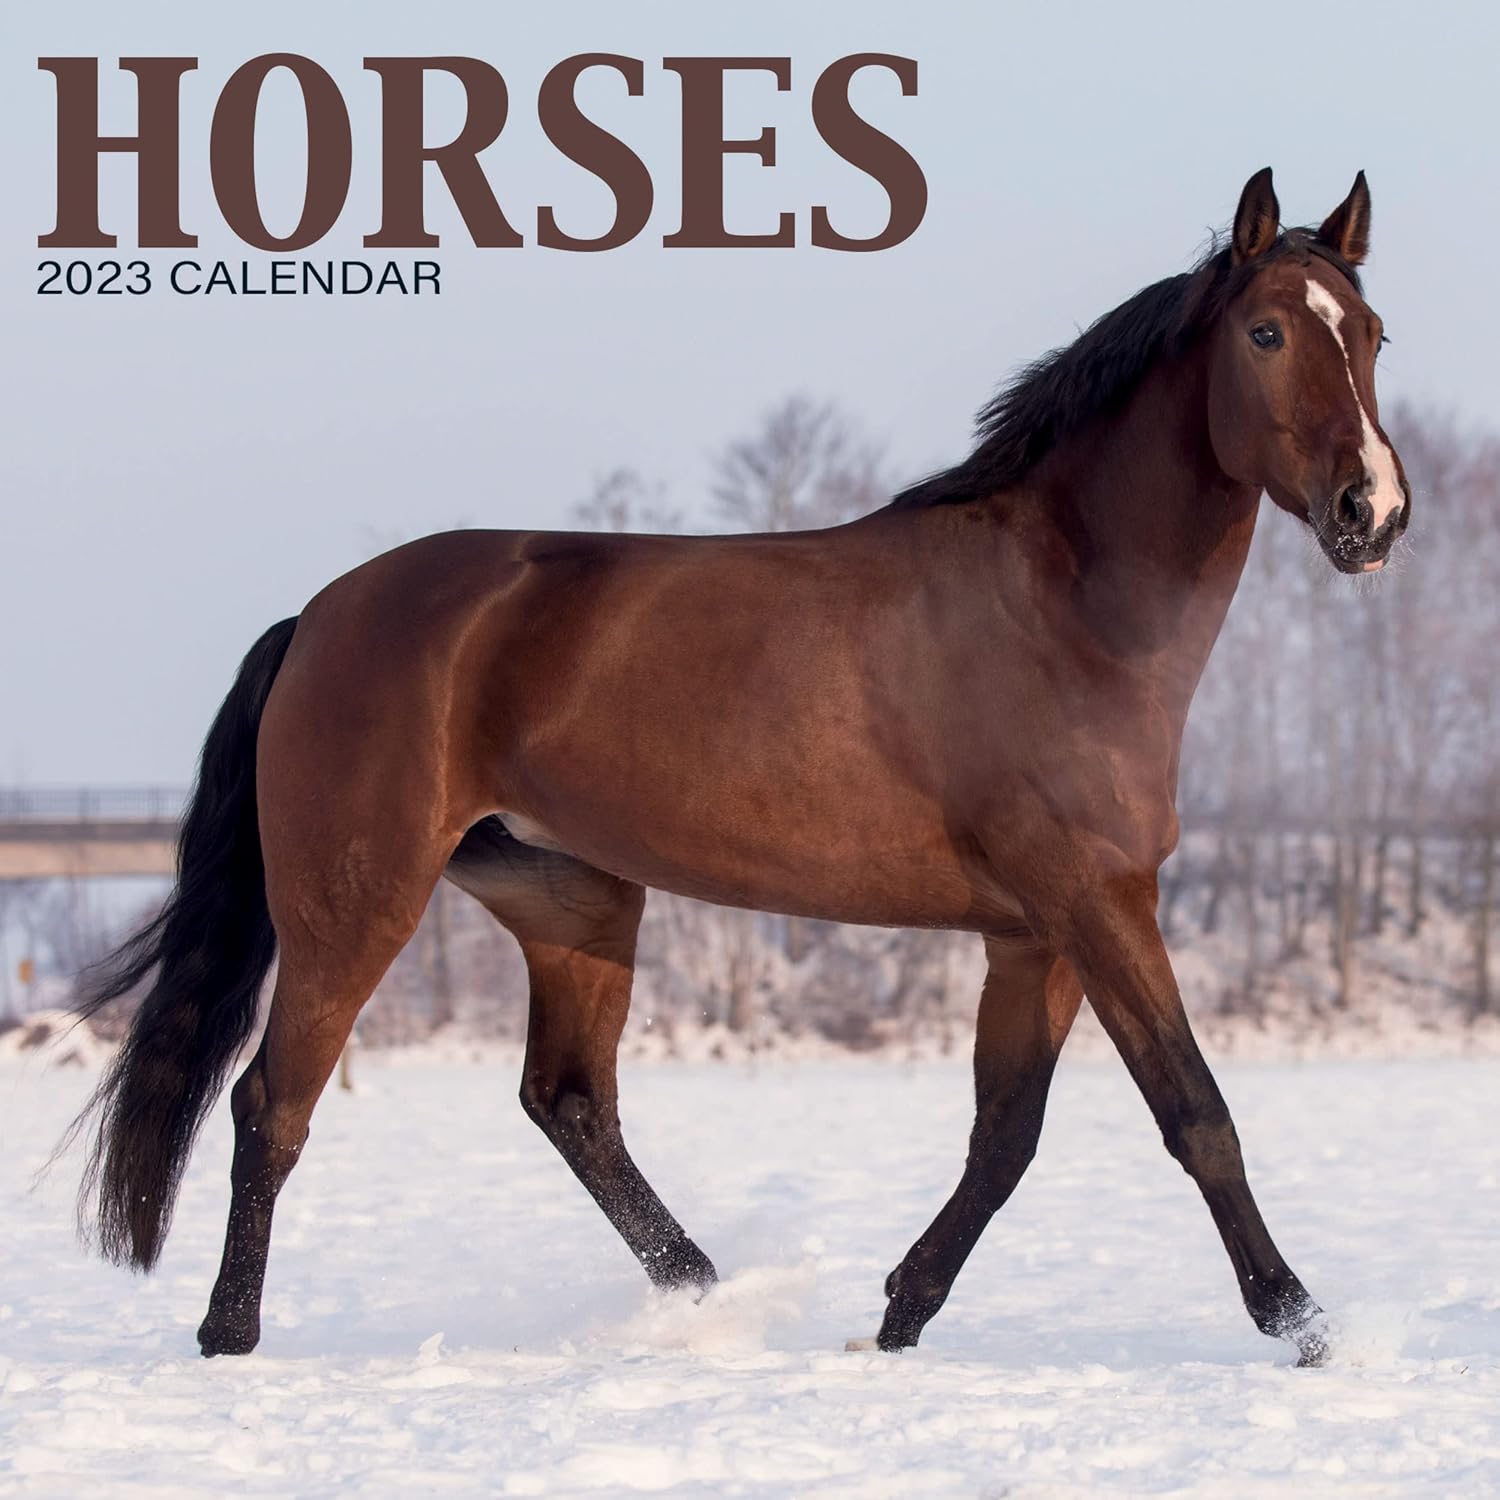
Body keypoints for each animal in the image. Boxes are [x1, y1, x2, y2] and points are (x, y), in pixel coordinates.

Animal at [71, 167, 1408, 1366]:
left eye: (1373, 334)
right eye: (1267, 332)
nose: (1373, 512)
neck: (1061, 608)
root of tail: (318, 616)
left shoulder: (1039, 931)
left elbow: (1005, 1138)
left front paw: (900, 1312)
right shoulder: (1099, 904)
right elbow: (1195, 1113)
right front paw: (1303, 1323)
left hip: (571, 901)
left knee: (570, 1103)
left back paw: (711, 1297)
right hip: (356, 896)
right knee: (273, 1101)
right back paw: (230, 1335)